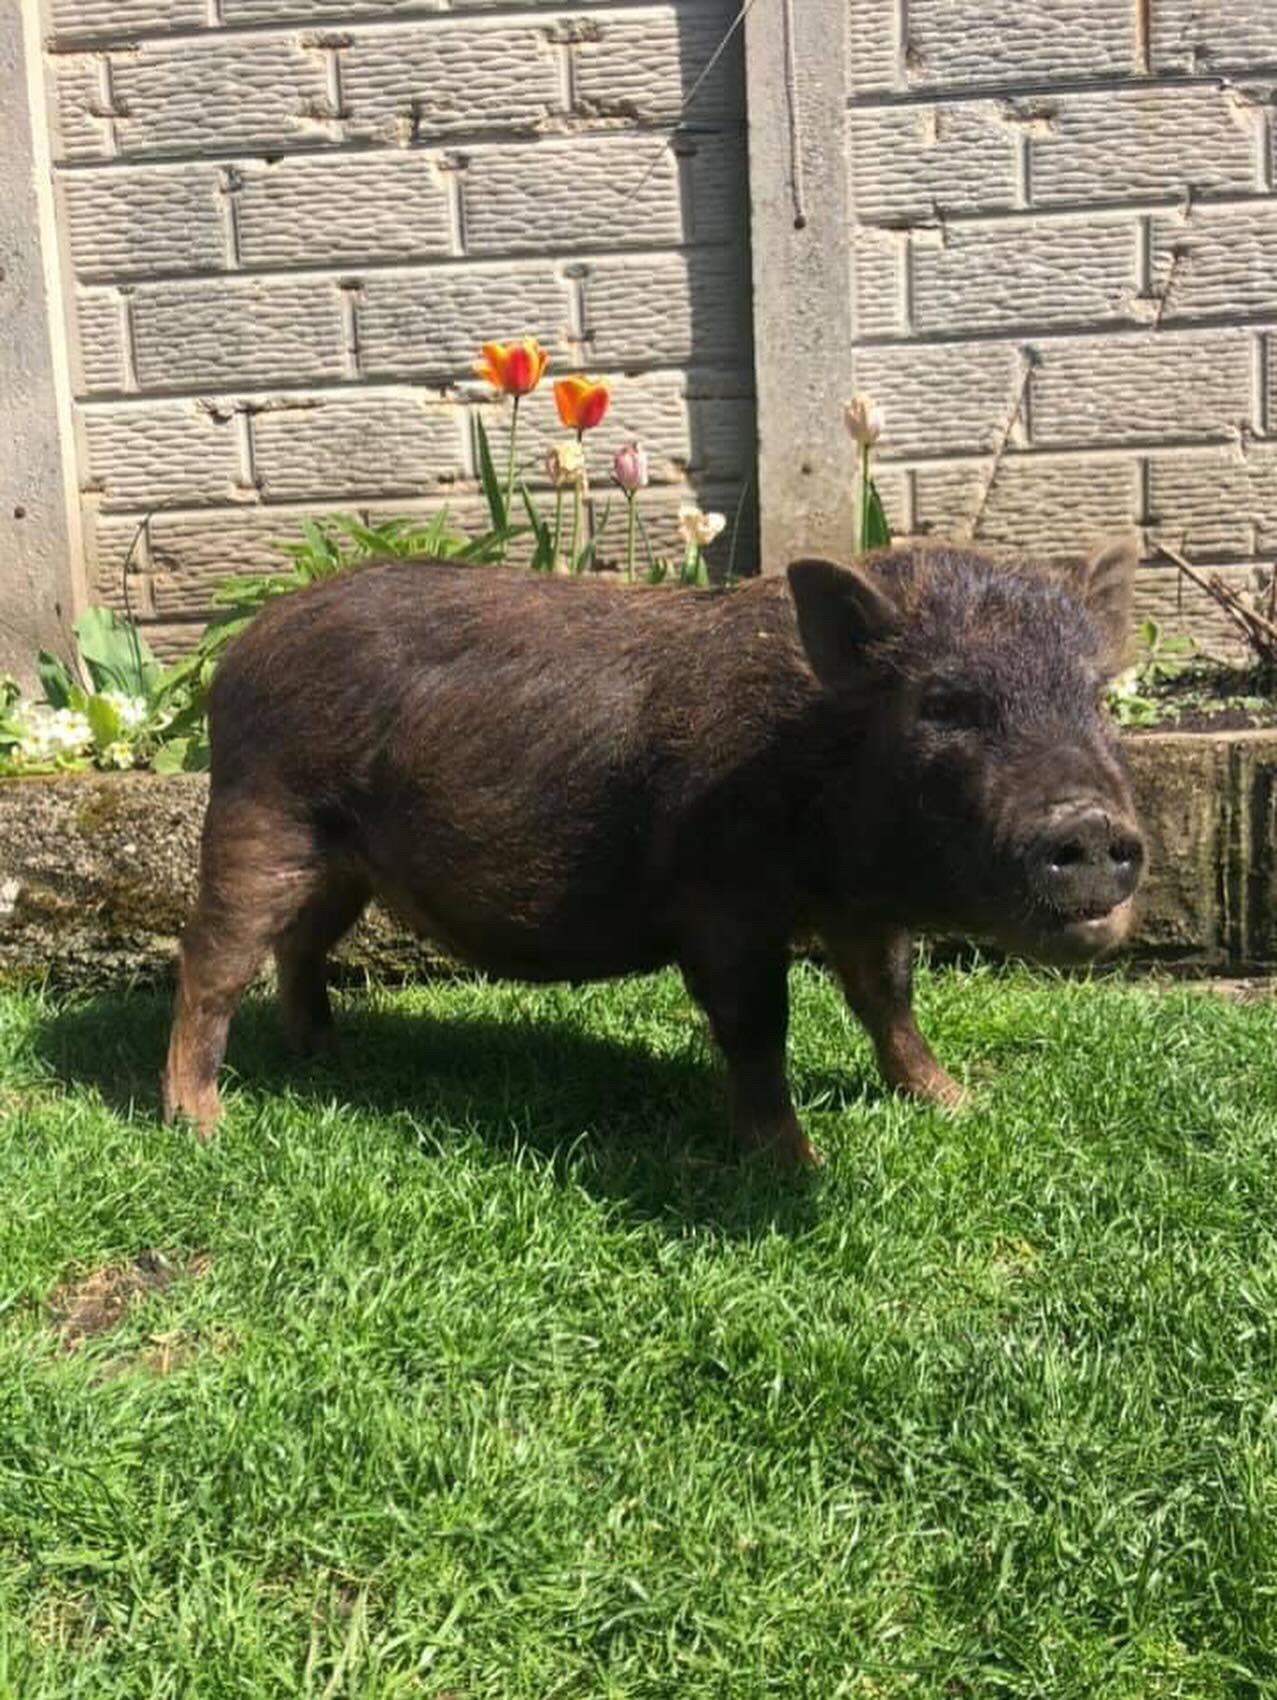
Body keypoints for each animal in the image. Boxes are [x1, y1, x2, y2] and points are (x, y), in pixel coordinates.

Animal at [163, 539, 1145, 1162]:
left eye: (1097, 699)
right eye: (943, 705)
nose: (1093, 828)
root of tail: (240, 651)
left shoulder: (860, 908)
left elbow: (886, 1000)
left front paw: (957, 1103)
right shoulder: (722, 901)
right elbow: (756, 1025)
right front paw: (797, 1162)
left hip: (345, 863)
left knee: (299, 947)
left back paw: (325, 1058)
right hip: (263, 811)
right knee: (211, 958)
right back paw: (205, 1125)